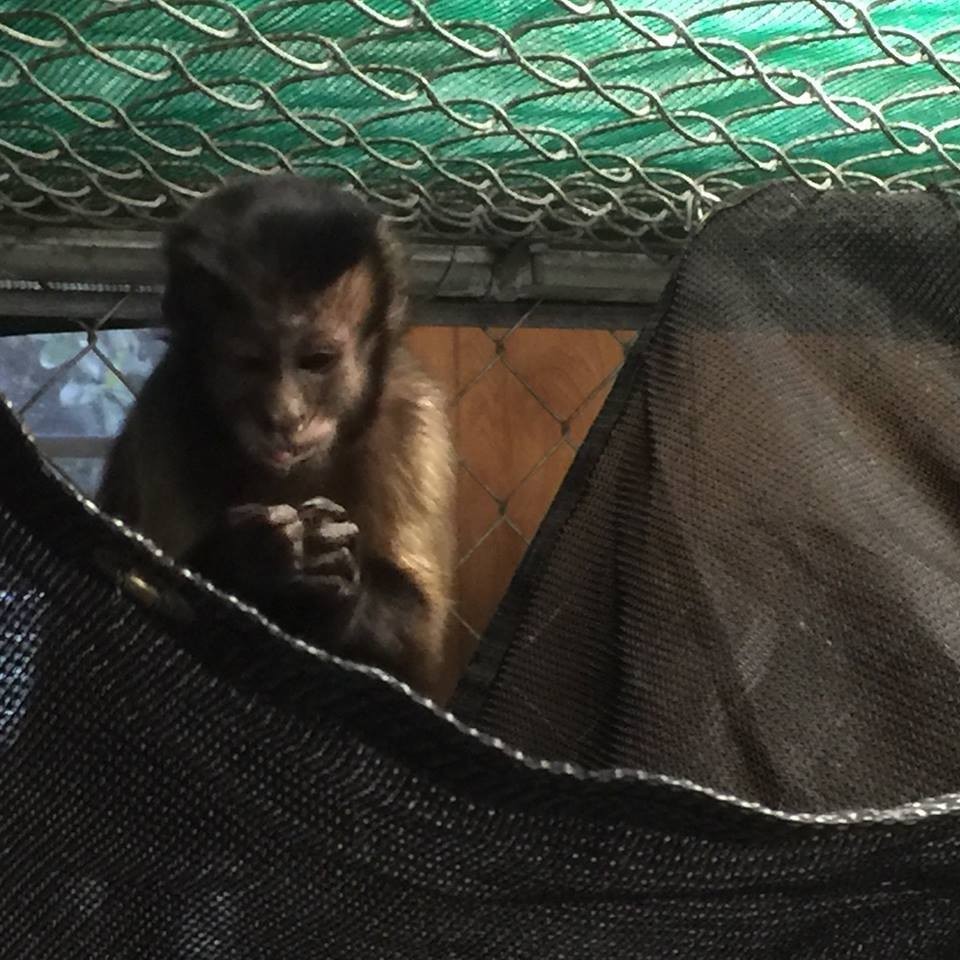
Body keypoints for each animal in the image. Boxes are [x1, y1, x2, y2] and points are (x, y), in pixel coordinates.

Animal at [96, 175, 459, 704]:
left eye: (317, 361)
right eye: (250, 362)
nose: (286, 416)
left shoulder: (416, 424)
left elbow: (420, 655)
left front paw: (340, 581)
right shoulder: (168, 412)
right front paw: (247, 561)